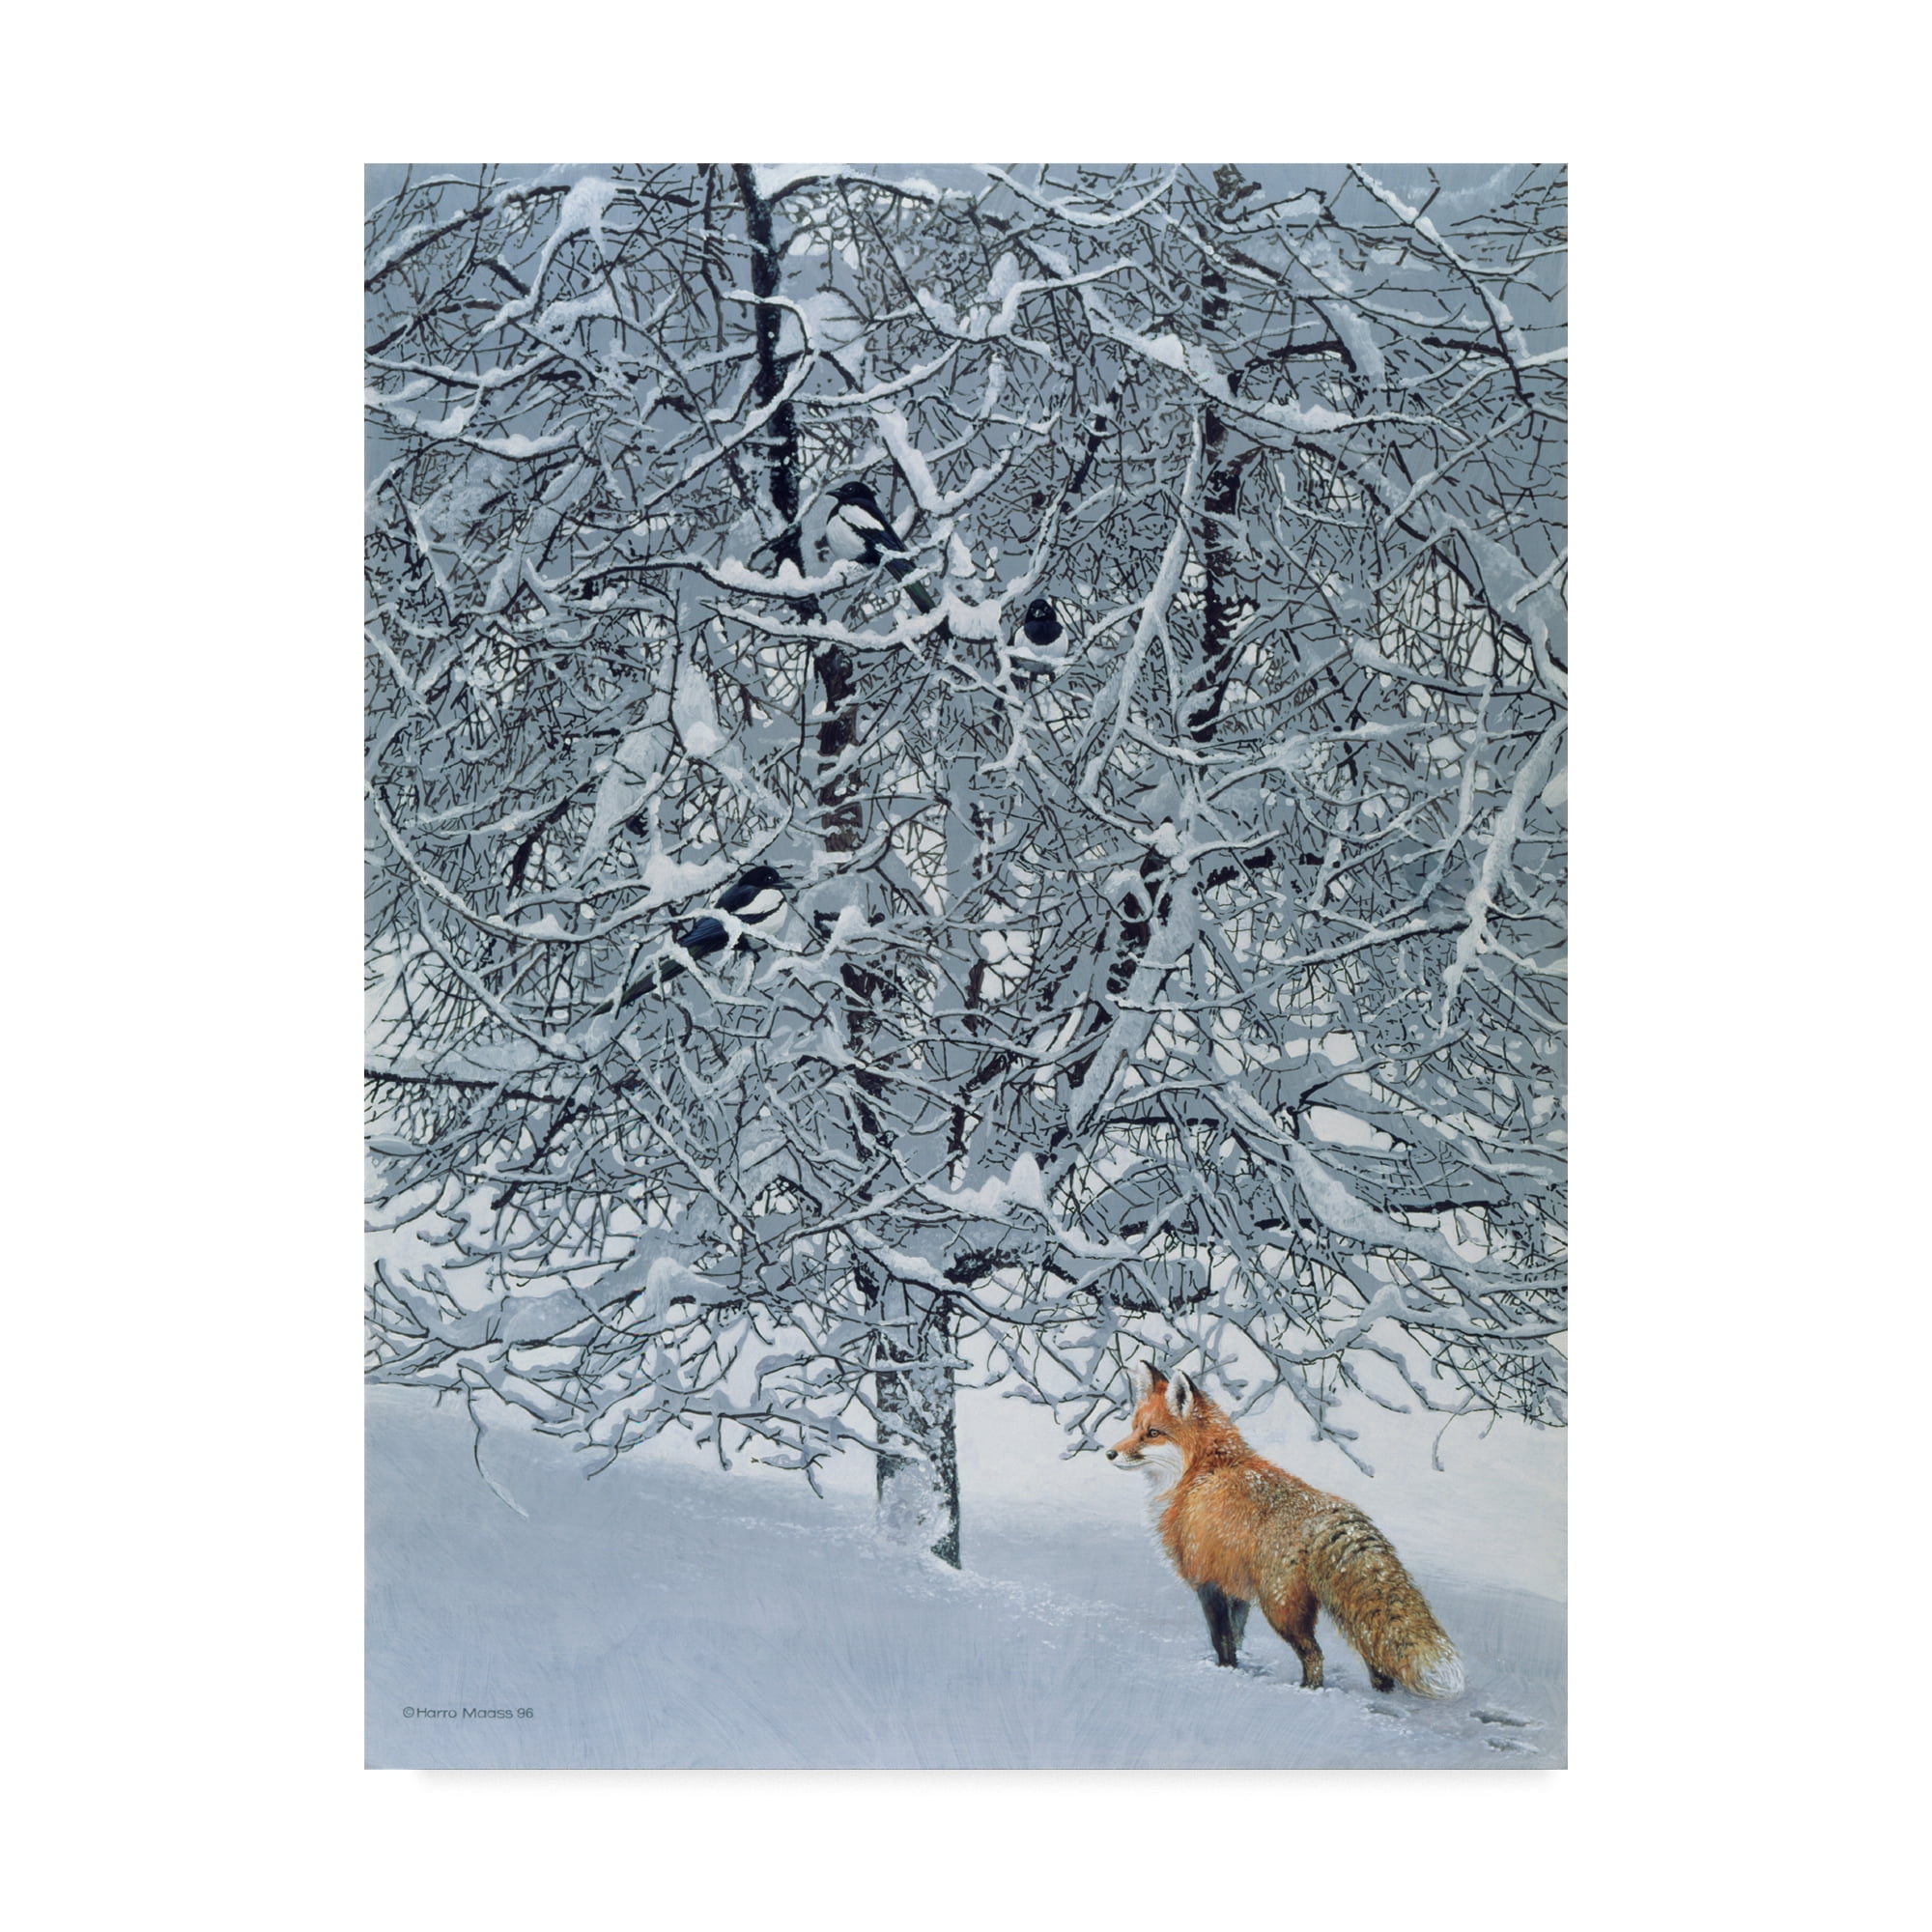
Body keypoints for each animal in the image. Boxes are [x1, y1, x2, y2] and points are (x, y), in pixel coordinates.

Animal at [1107, 1362, 1464, 1698]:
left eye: (1153, 1433)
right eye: (1134, 1428)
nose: (1110, 1453)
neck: (1201, 1473)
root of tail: (1324, 1512)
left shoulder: (1207, 1579)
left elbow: (1222, 1641)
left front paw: (1223, 1675)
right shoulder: (1236, 1588)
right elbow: (1236, 1637)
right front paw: (1237, 1672)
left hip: (1281, 1609)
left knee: (1315, 1655)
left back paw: (1307, 1692)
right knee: (1372, 1654)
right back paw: (1382, 1692)